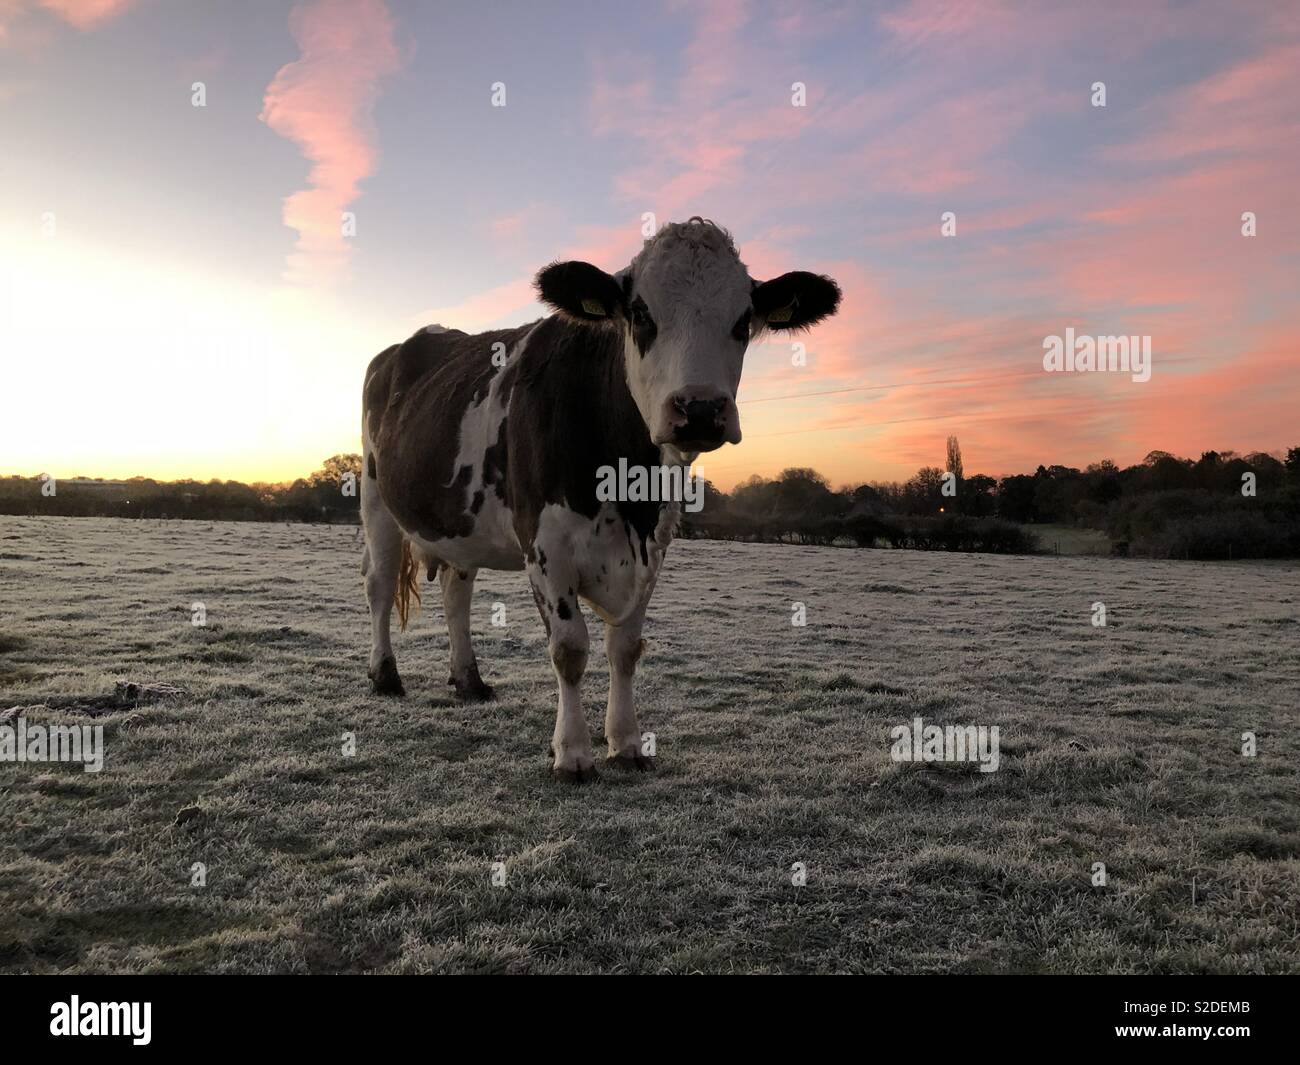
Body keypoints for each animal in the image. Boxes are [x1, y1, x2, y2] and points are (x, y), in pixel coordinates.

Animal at [360, 218, 840, 779]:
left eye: (743, 320)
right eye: (640, 313)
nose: (700, 409)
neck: (625, 490)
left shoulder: (653, 547)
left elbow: (625, 648)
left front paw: (627, 743)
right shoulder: (545, 547)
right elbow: (570, 649)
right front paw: (573, 754)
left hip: (459, 523)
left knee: (457, 593)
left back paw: (469, 681)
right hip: (376, 499)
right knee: (378, 585)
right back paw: (385, 675)